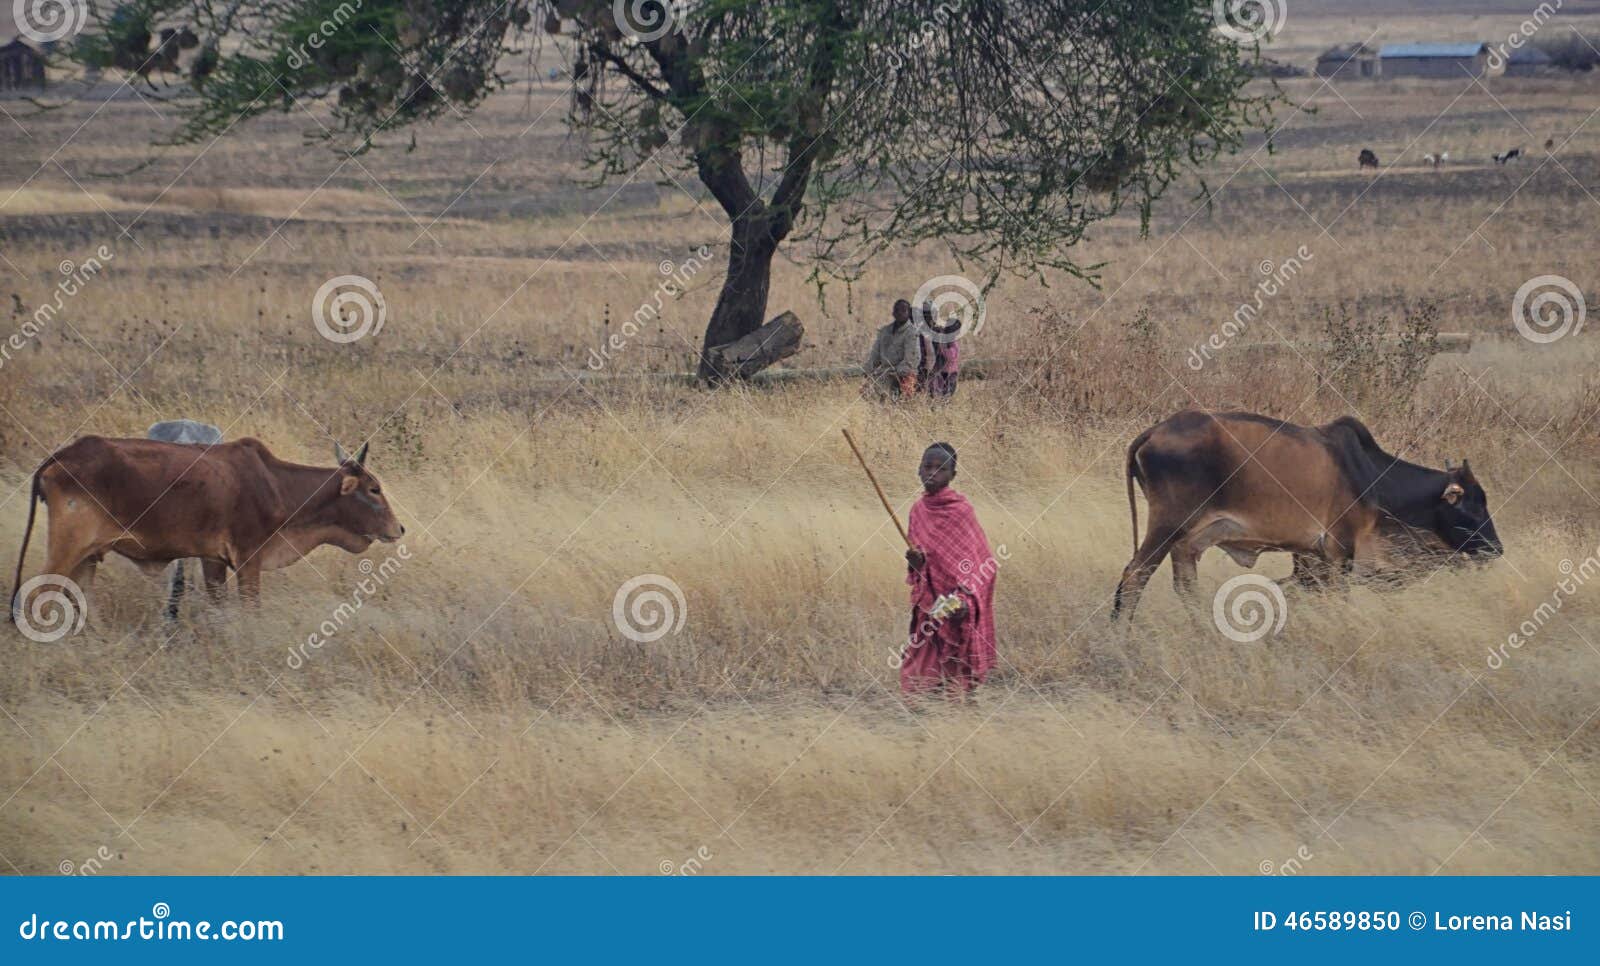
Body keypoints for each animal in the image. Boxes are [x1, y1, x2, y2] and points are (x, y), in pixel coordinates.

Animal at [10, 437, 403, 628]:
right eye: (374, 489)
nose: (398, 528)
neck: (275, 483)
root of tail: (61, 456)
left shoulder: (212, 560)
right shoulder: (248, 560)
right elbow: (251, 609)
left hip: (89, 556)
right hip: (67, 548)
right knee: (36, 595)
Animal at [1110, 411, 1501, 620]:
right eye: (1474, 504)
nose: (1496, 548)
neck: (1370, 477)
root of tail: (1154, 432)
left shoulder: (1310, 558)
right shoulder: (1340, 554)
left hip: (1186, 541)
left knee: (1185, 585)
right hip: (1167, 525)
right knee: (1135, 575)